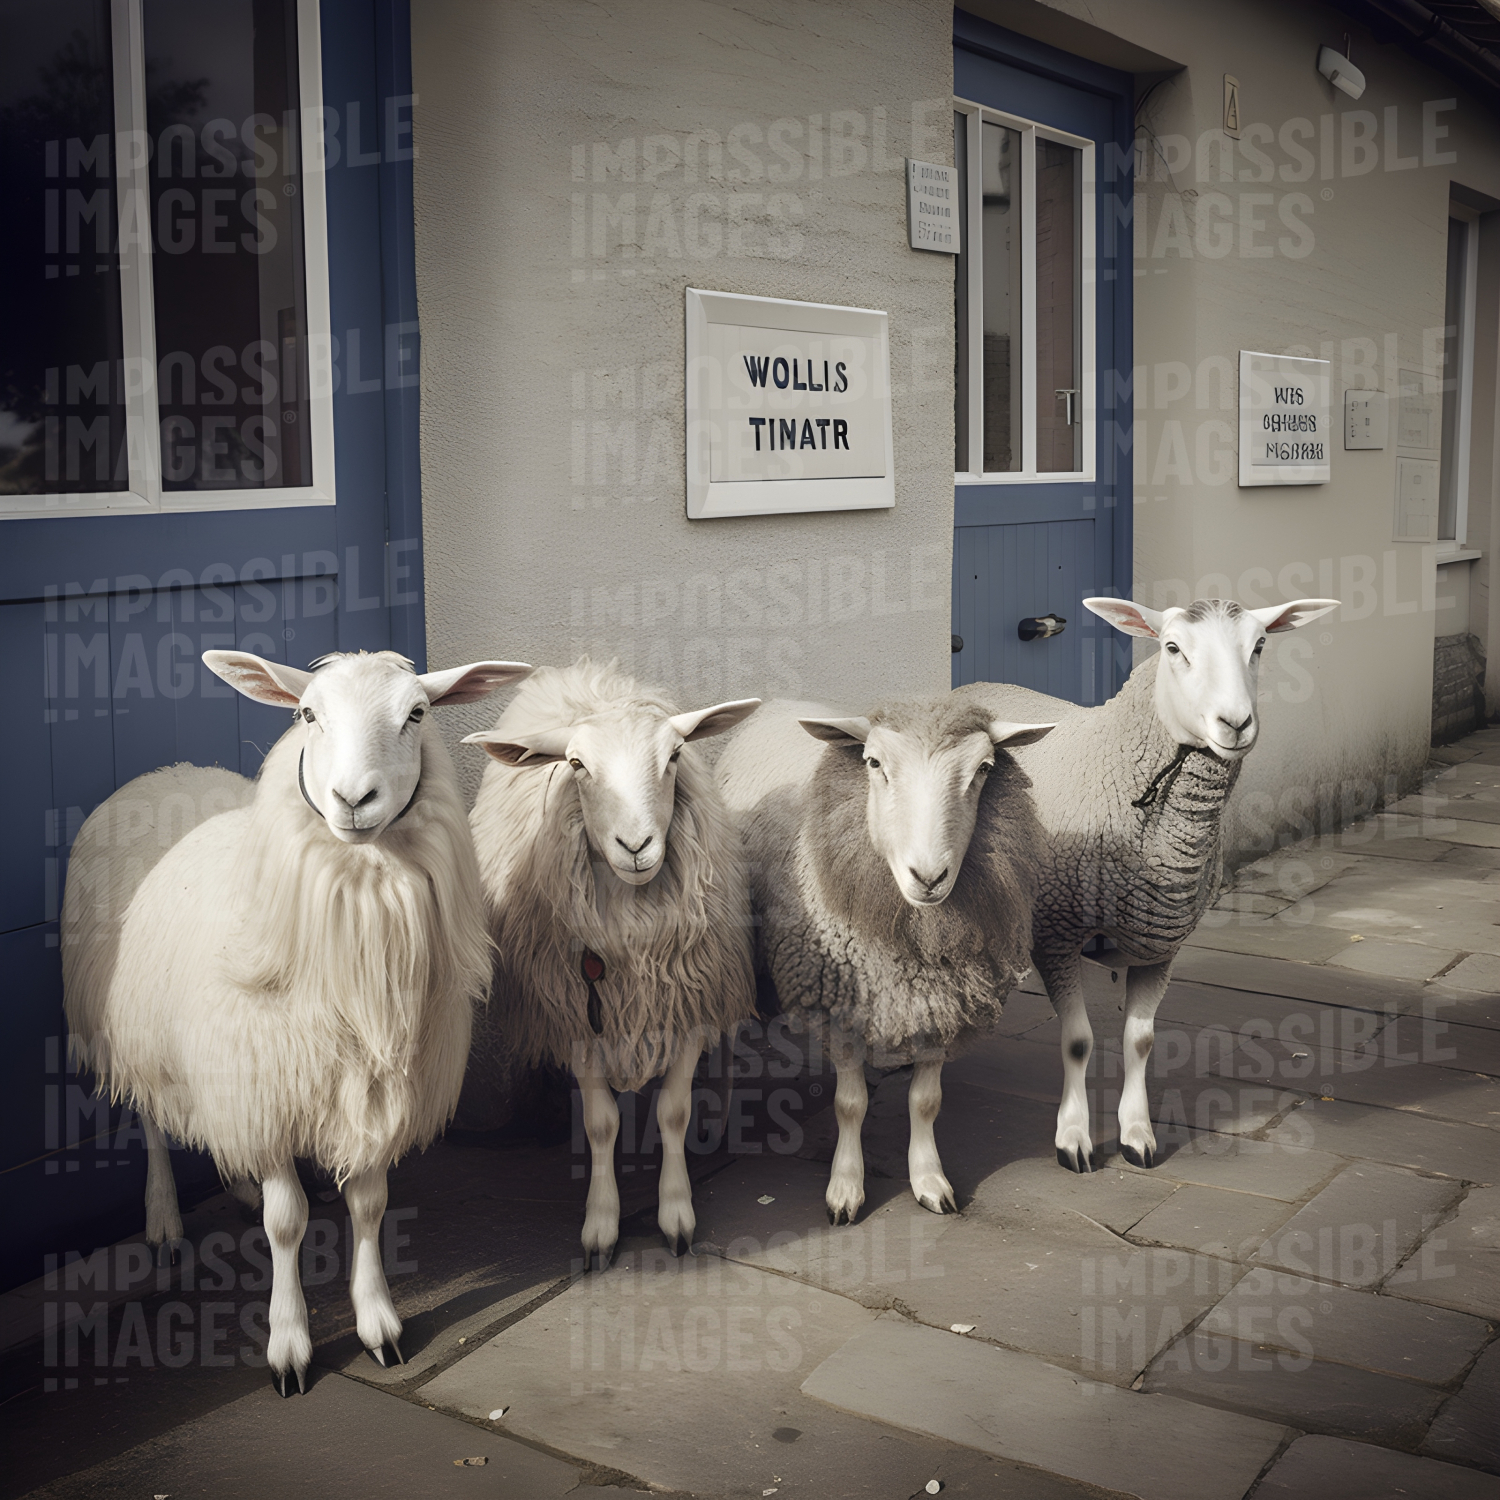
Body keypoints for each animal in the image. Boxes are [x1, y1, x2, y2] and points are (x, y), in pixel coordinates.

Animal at [61, 648, 532, 1395]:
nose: (353, 799)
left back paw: (236, 1182)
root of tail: (164, 771)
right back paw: (163, 1218)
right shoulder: (270, 1084)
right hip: (134, 1027)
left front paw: (379, 1325)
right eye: (308, 713)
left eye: (417, 714)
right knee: (153, 1119)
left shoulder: (371, 1086)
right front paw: (289, 1345)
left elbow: (370, 1202)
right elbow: (287, 1223)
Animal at [460, 660, 762, 1267]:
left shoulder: (685, 1003)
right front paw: (601, 1224)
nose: (636, 845)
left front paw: (676, 1215)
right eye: (577, 765)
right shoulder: (580, 1017)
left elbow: (672, 1112)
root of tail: (588, 675)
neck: (633, 917)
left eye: (674, 757)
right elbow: (602, 1125)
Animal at [716, 696, 1054, 1225]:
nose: (929, 877)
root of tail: (775, 701)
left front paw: (929, 1181)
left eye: (983, 769)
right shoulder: (838, 1004)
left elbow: (926, 1101)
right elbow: (850, 1104)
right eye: (874, 763)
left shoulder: (945, 1004)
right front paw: (845, 1188)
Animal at [954, 595, 1339, 1174]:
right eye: (1173, 648)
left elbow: (1140, 1041)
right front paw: (1073, 1140)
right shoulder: (1058, 933)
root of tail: (972, 685)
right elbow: (1077, 1042)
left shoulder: (1161, 942)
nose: (1236, 723)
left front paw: (1137, 1135)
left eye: (1260, 646)